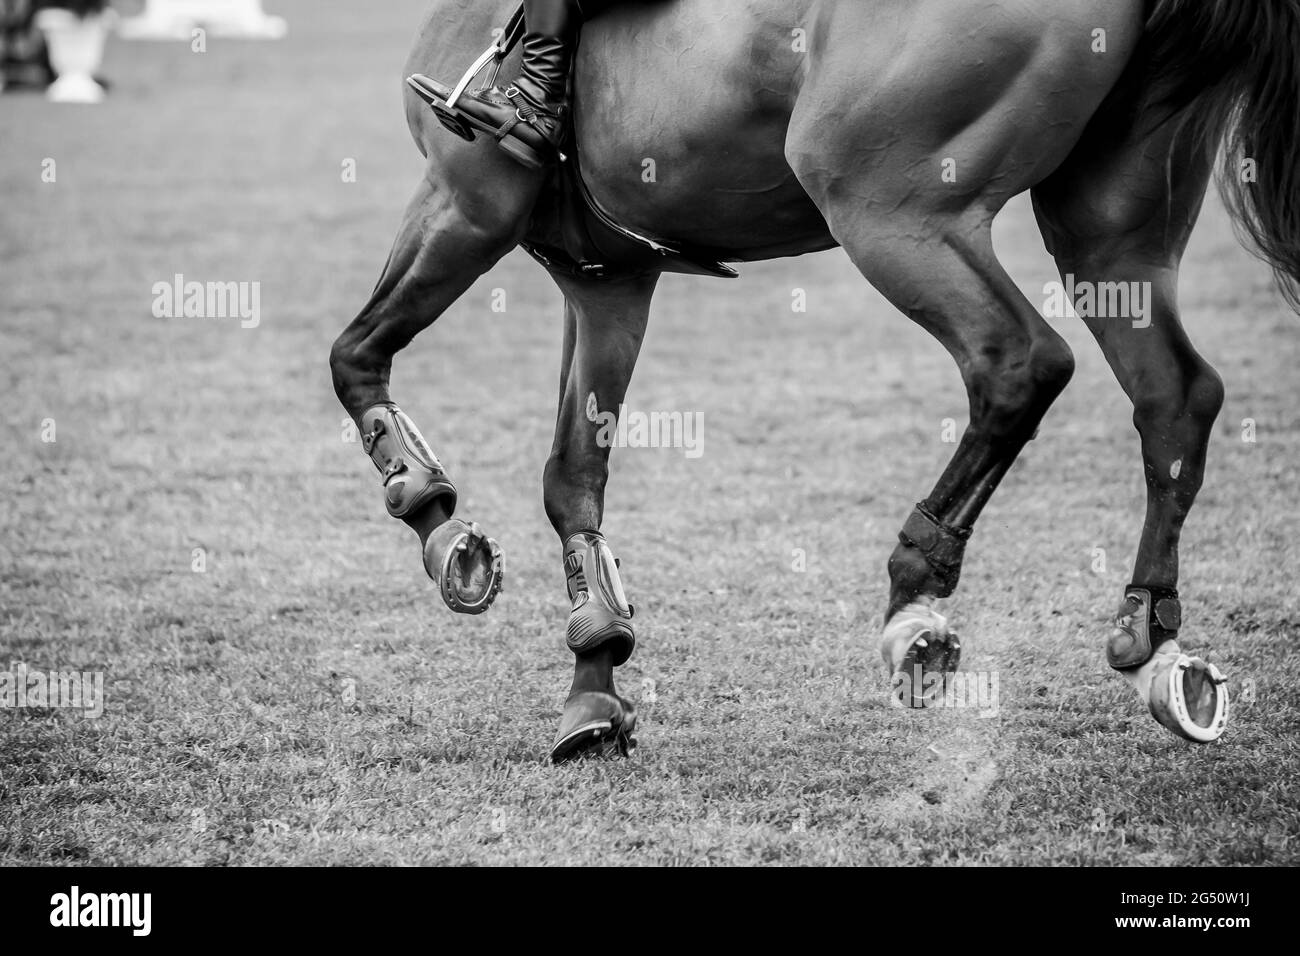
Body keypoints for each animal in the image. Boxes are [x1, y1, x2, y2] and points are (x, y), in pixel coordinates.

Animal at [329, 0, 1300, 759]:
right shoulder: (605, 281)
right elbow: (572, 480)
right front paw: (595, 681)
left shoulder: (467, 203)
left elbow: (354, 357)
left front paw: (434, 520)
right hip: (1107, 237)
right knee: (1176, 396)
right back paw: (1152, 635)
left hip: (890, 209)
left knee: (1020, 363)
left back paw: (917, 591)